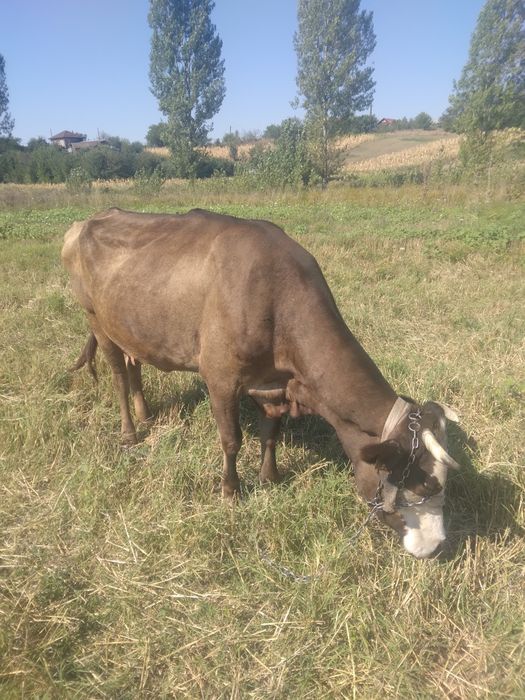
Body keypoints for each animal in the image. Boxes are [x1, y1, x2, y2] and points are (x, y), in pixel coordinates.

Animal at [62, 207, 460, 559]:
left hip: (130, 326)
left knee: (134, 367)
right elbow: (232, 440)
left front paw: (270, 477)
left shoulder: (274, 383)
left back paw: (145, 415)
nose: (437, 546)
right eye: (424, 483)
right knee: (118, 377)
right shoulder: (220, 377)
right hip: (95, 319)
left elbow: (271, 432)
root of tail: (90, 219)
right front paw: (231, 492)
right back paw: (130, 432)